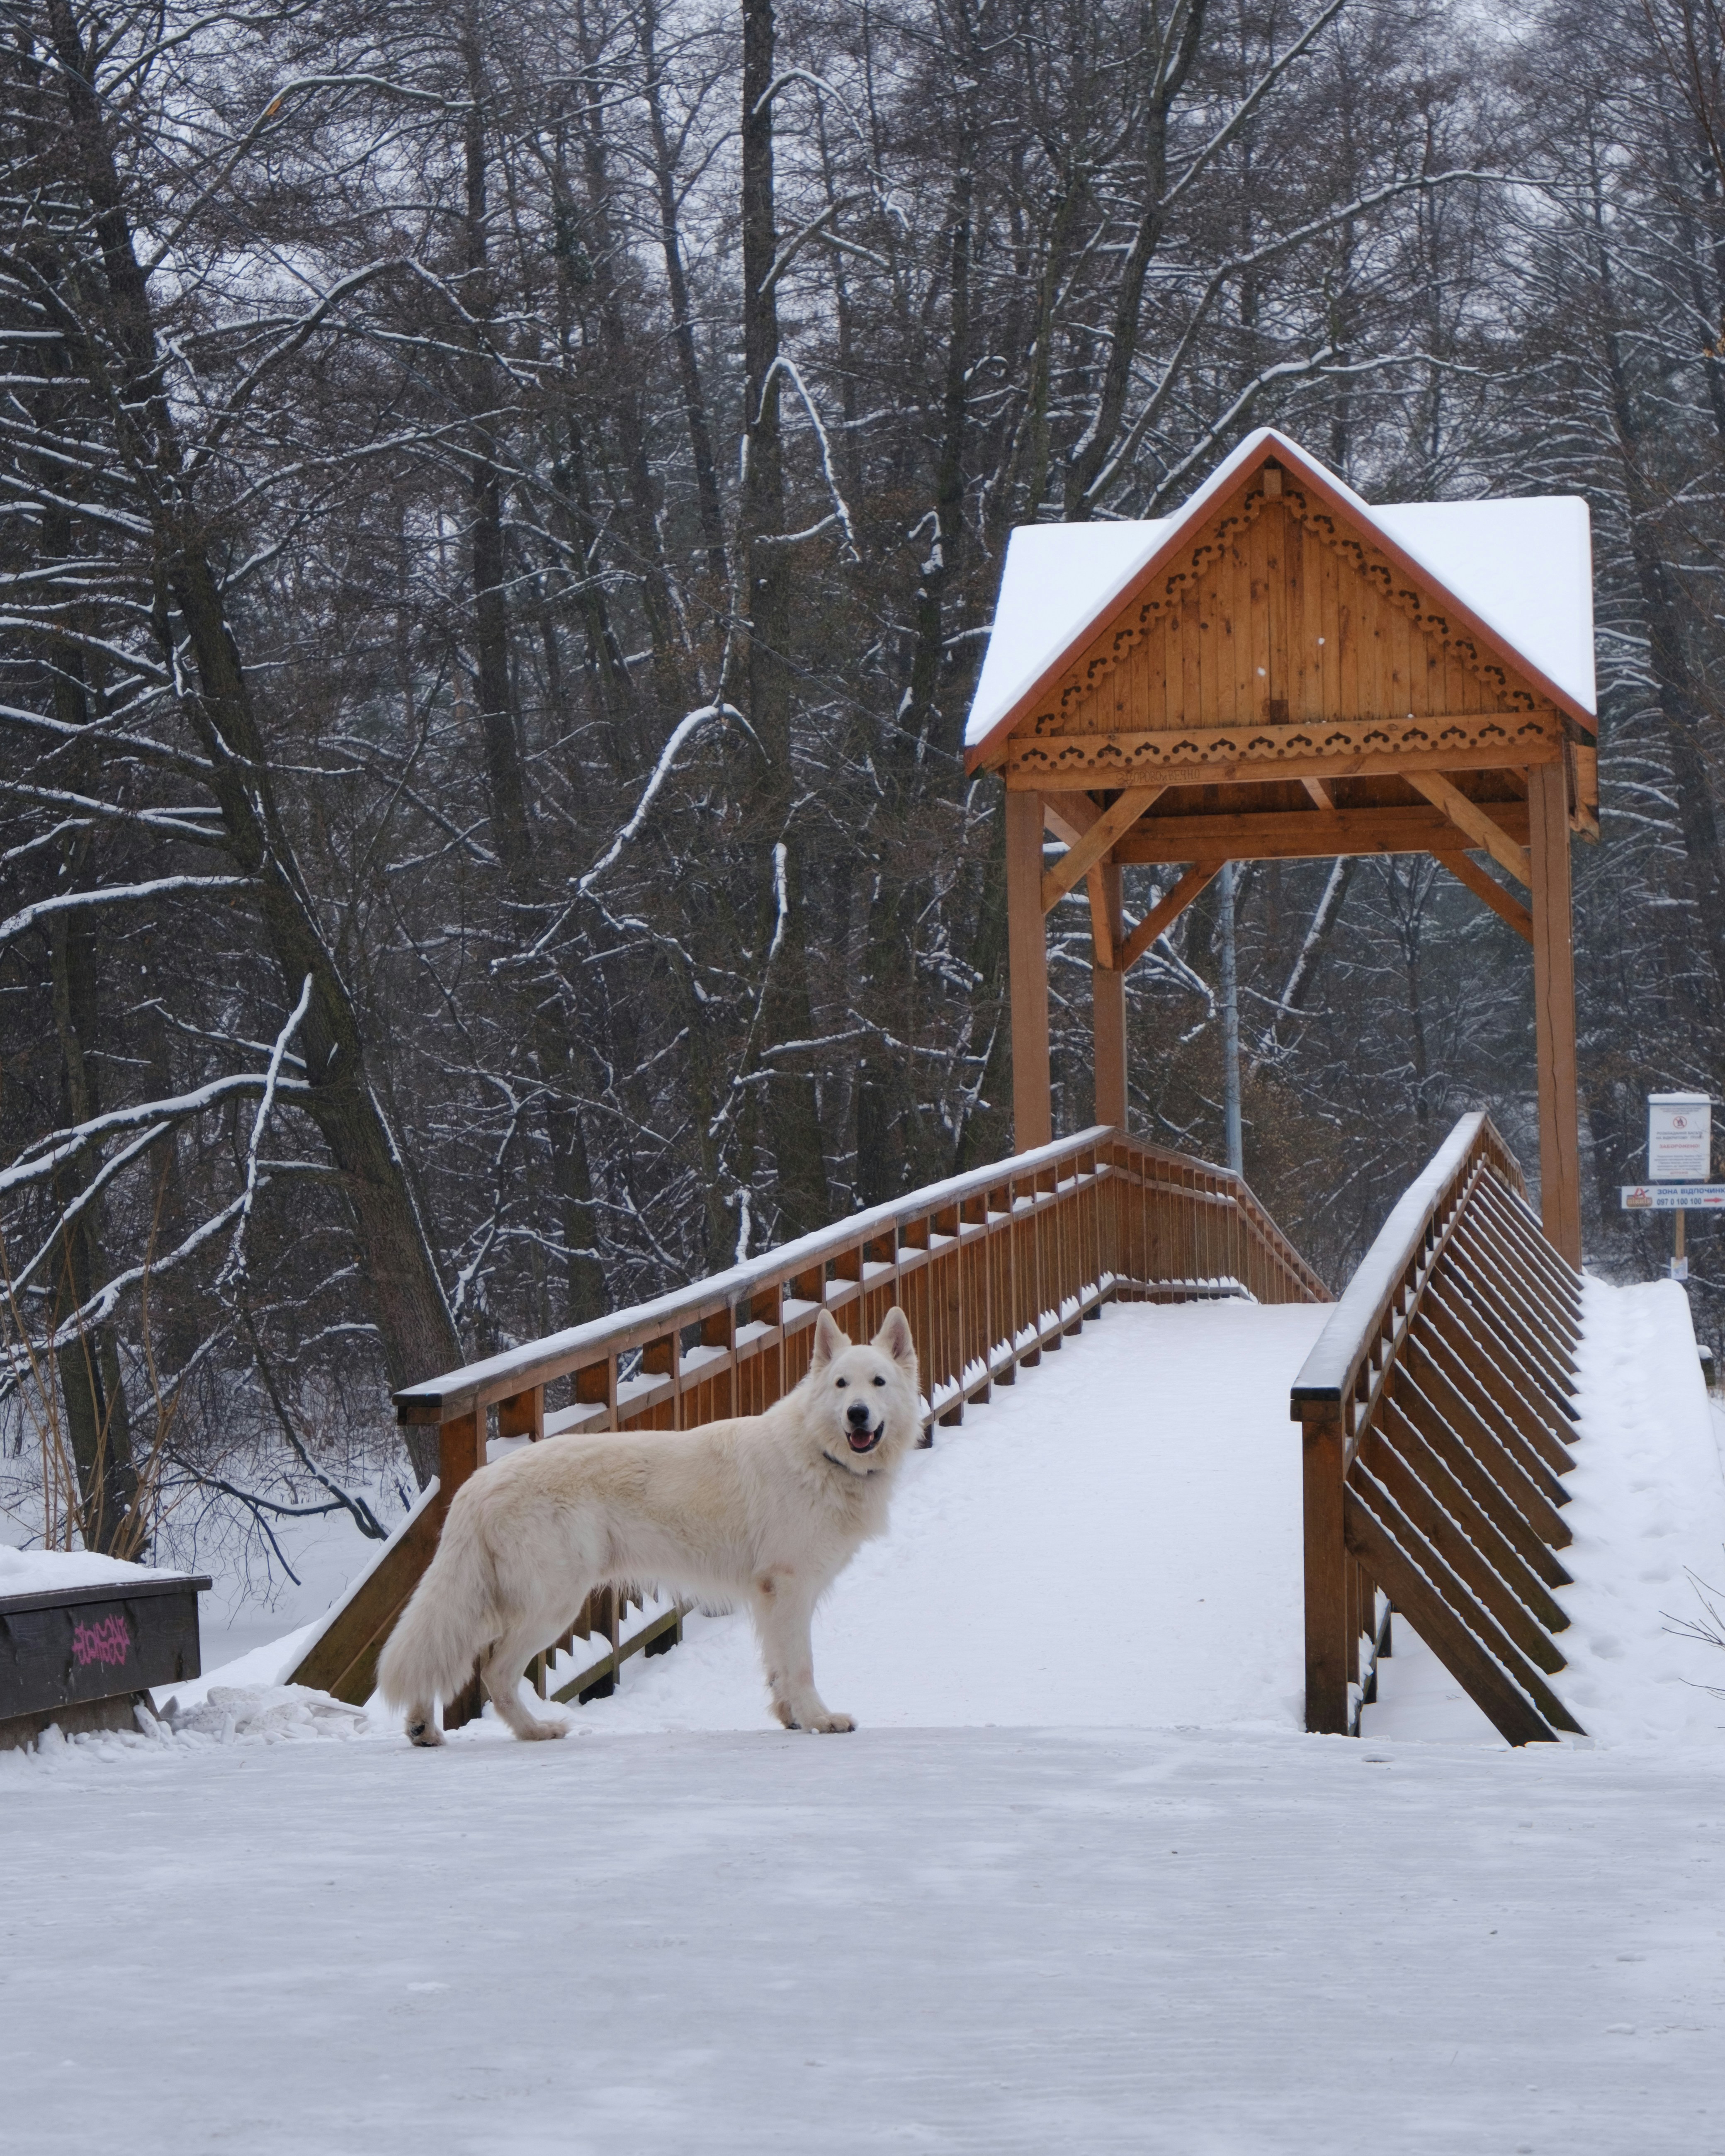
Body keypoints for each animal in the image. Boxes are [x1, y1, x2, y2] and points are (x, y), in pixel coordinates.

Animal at [376, 1306, 922, 1745]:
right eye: (841, 1385)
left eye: (877, 1383)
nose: (857, 1415)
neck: (819, 1452)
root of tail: (478, 1481)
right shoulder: (788, 1588)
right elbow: (801, 1665)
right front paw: (818, 1720)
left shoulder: (773, 1598)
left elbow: (777, 1669)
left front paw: (790, 1716)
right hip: (550, 1604)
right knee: (492, 1670)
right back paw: (534, 1731)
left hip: (497, 1598)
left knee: (444, 1649)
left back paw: (423, 1727)